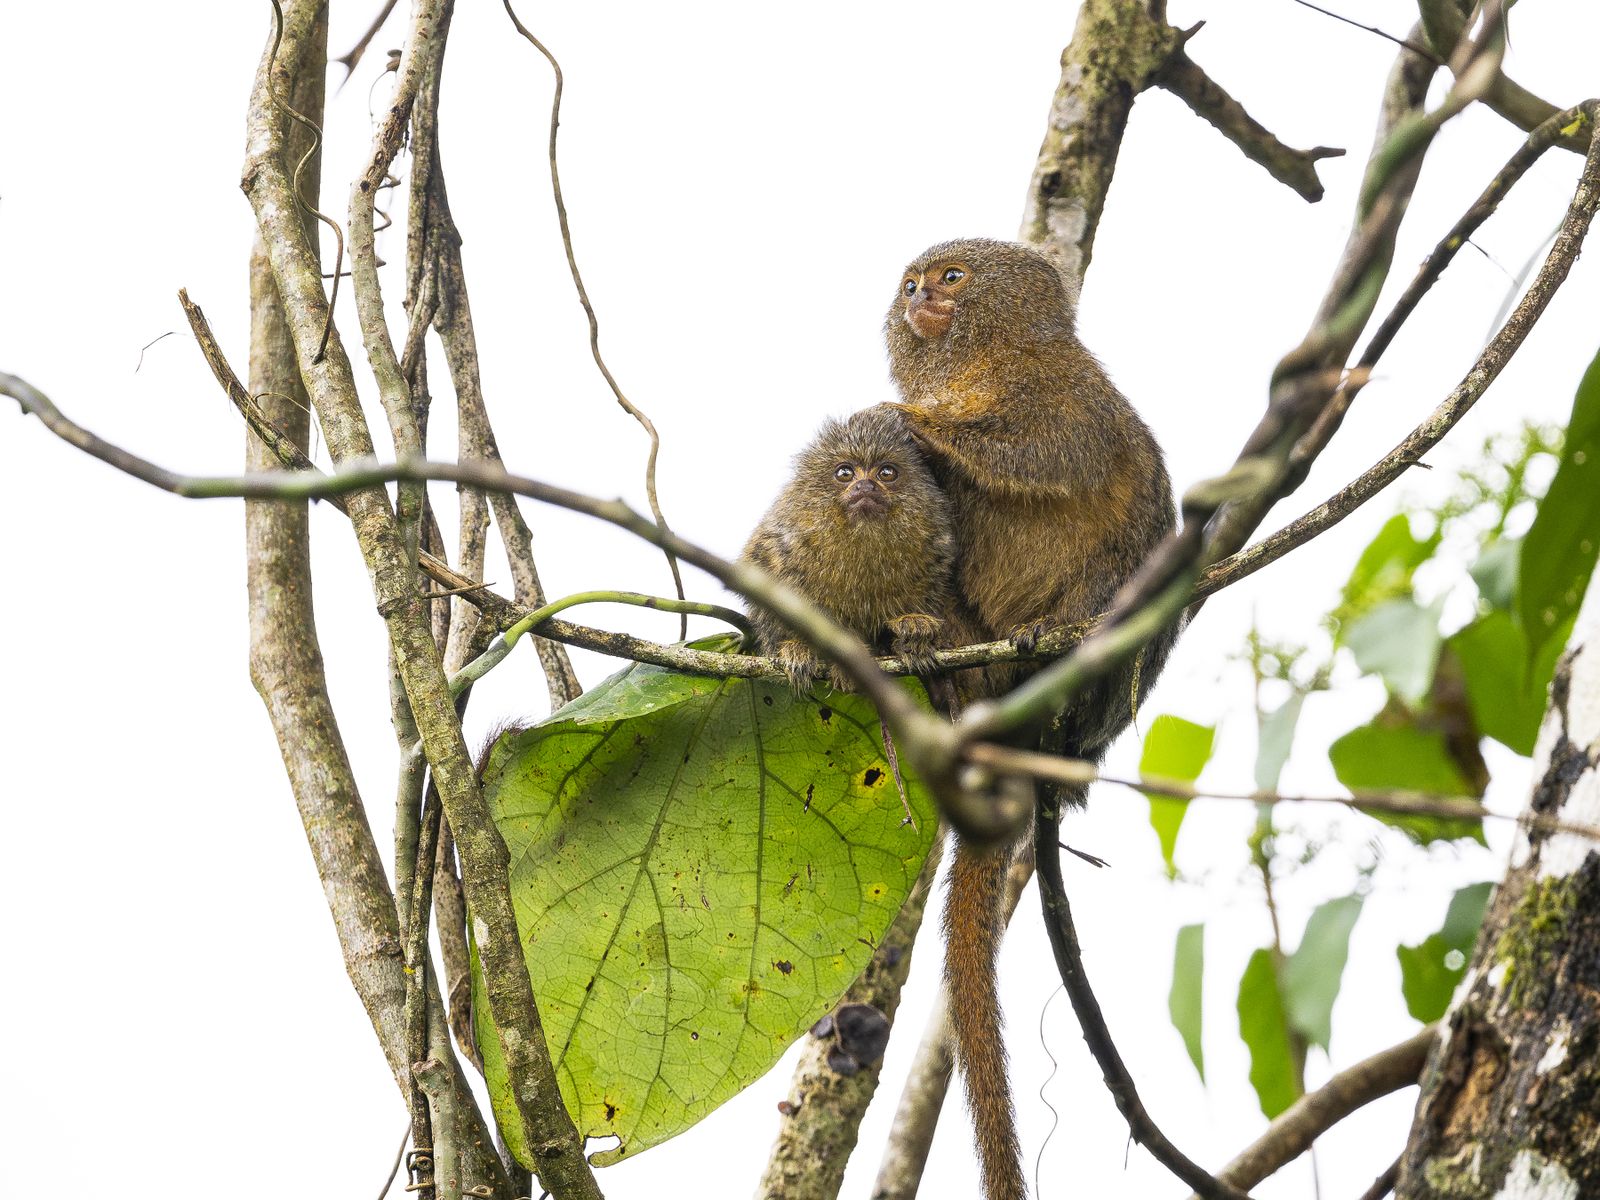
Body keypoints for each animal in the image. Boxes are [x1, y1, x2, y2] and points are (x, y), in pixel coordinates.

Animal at [741, 404, 959, 695]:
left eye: (886, 473)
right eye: (845, 474)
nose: (865, 487)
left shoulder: (935, 549)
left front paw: (913, 630)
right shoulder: (774, 548)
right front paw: (799, 650)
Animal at [884, 238, 1179, 1200]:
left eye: (952, 278)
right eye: (912, 283)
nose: (918, 299)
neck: (976, 364)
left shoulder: (1063, 390)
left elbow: (1048, 451)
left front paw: (912, 420)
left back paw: (1056, 644)